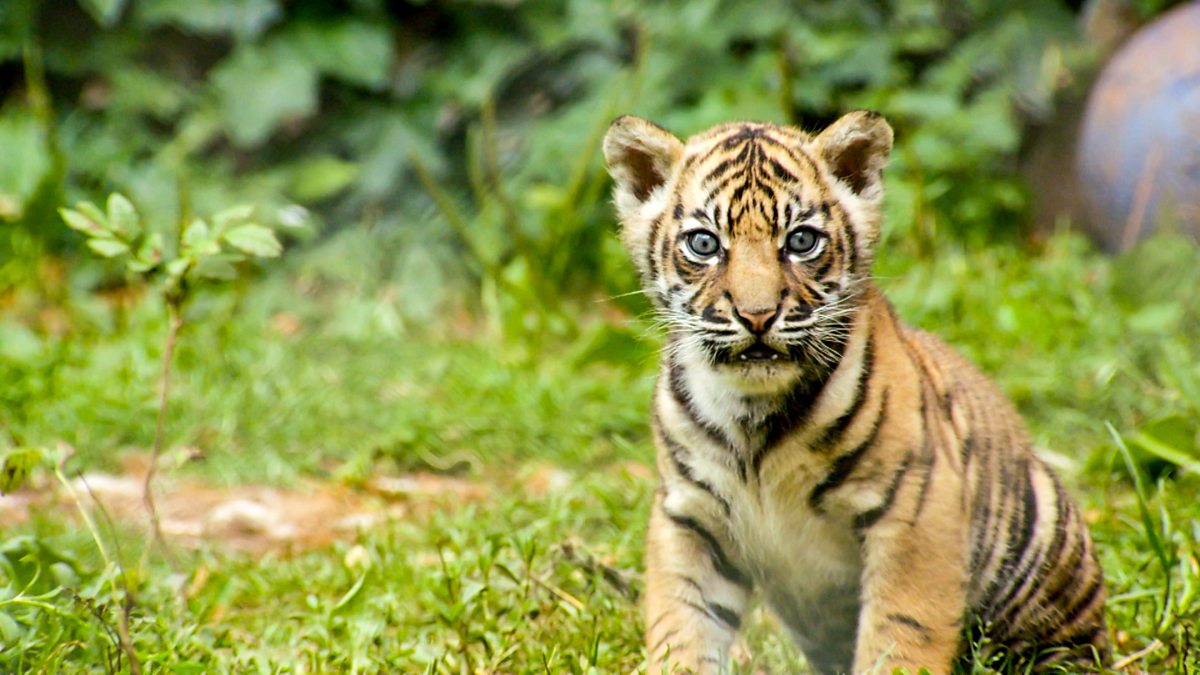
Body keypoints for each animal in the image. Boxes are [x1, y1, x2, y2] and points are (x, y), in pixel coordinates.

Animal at [601, 111, 1108, 674]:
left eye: (801, 241)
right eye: (704, 244)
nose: (757, 316)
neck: (750, 412)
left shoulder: (916, 509)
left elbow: (902, 632)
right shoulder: (688, 516)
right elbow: (683, 628)